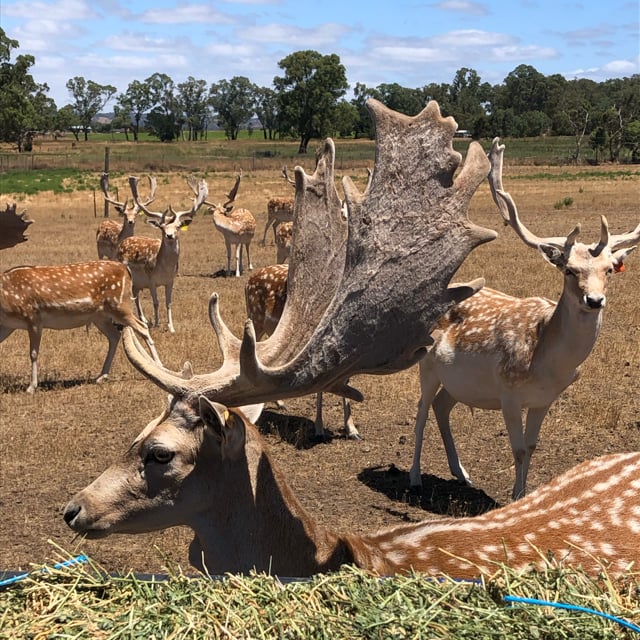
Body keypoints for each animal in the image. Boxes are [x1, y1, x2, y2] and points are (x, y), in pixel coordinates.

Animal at [0, 260, 160, 393]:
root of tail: (126, 269)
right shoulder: (7, 325)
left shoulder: (33, 318)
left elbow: (33, 353)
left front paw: (31, 387)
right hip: (100, 316)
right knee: (115, 335)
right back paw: (101, 376)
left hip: (120, 305)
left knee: (142, 326)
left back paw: (158, 366)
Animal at [116, 175, 208, 333]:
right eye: (161, 227)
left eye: (178, 226)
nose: (169, 235)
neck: (164, 269)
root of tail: (122, 243)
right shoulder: (151, 280)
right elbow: (156, 302)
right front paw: (157, 324)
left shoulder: (170, 280)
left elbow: (168, 302)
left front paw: (171, 327)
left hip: (136, 283)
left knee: (136, 295)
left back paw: (143, 319)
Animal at [409, 138, 640, 501]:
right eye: (569, 270)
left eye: (608, 270)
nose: (594, 300)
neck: (547, 364)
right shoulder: (508, 394)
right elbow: (517, 449)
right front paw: (514, 496)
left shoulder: (544, 399)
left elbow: (531, 447)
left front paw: (524, 494)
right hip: (426, 364)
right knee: (420, 411)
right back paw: (415, 476)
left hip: (460, 381)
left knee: (442, 406)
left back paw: (462, 474)